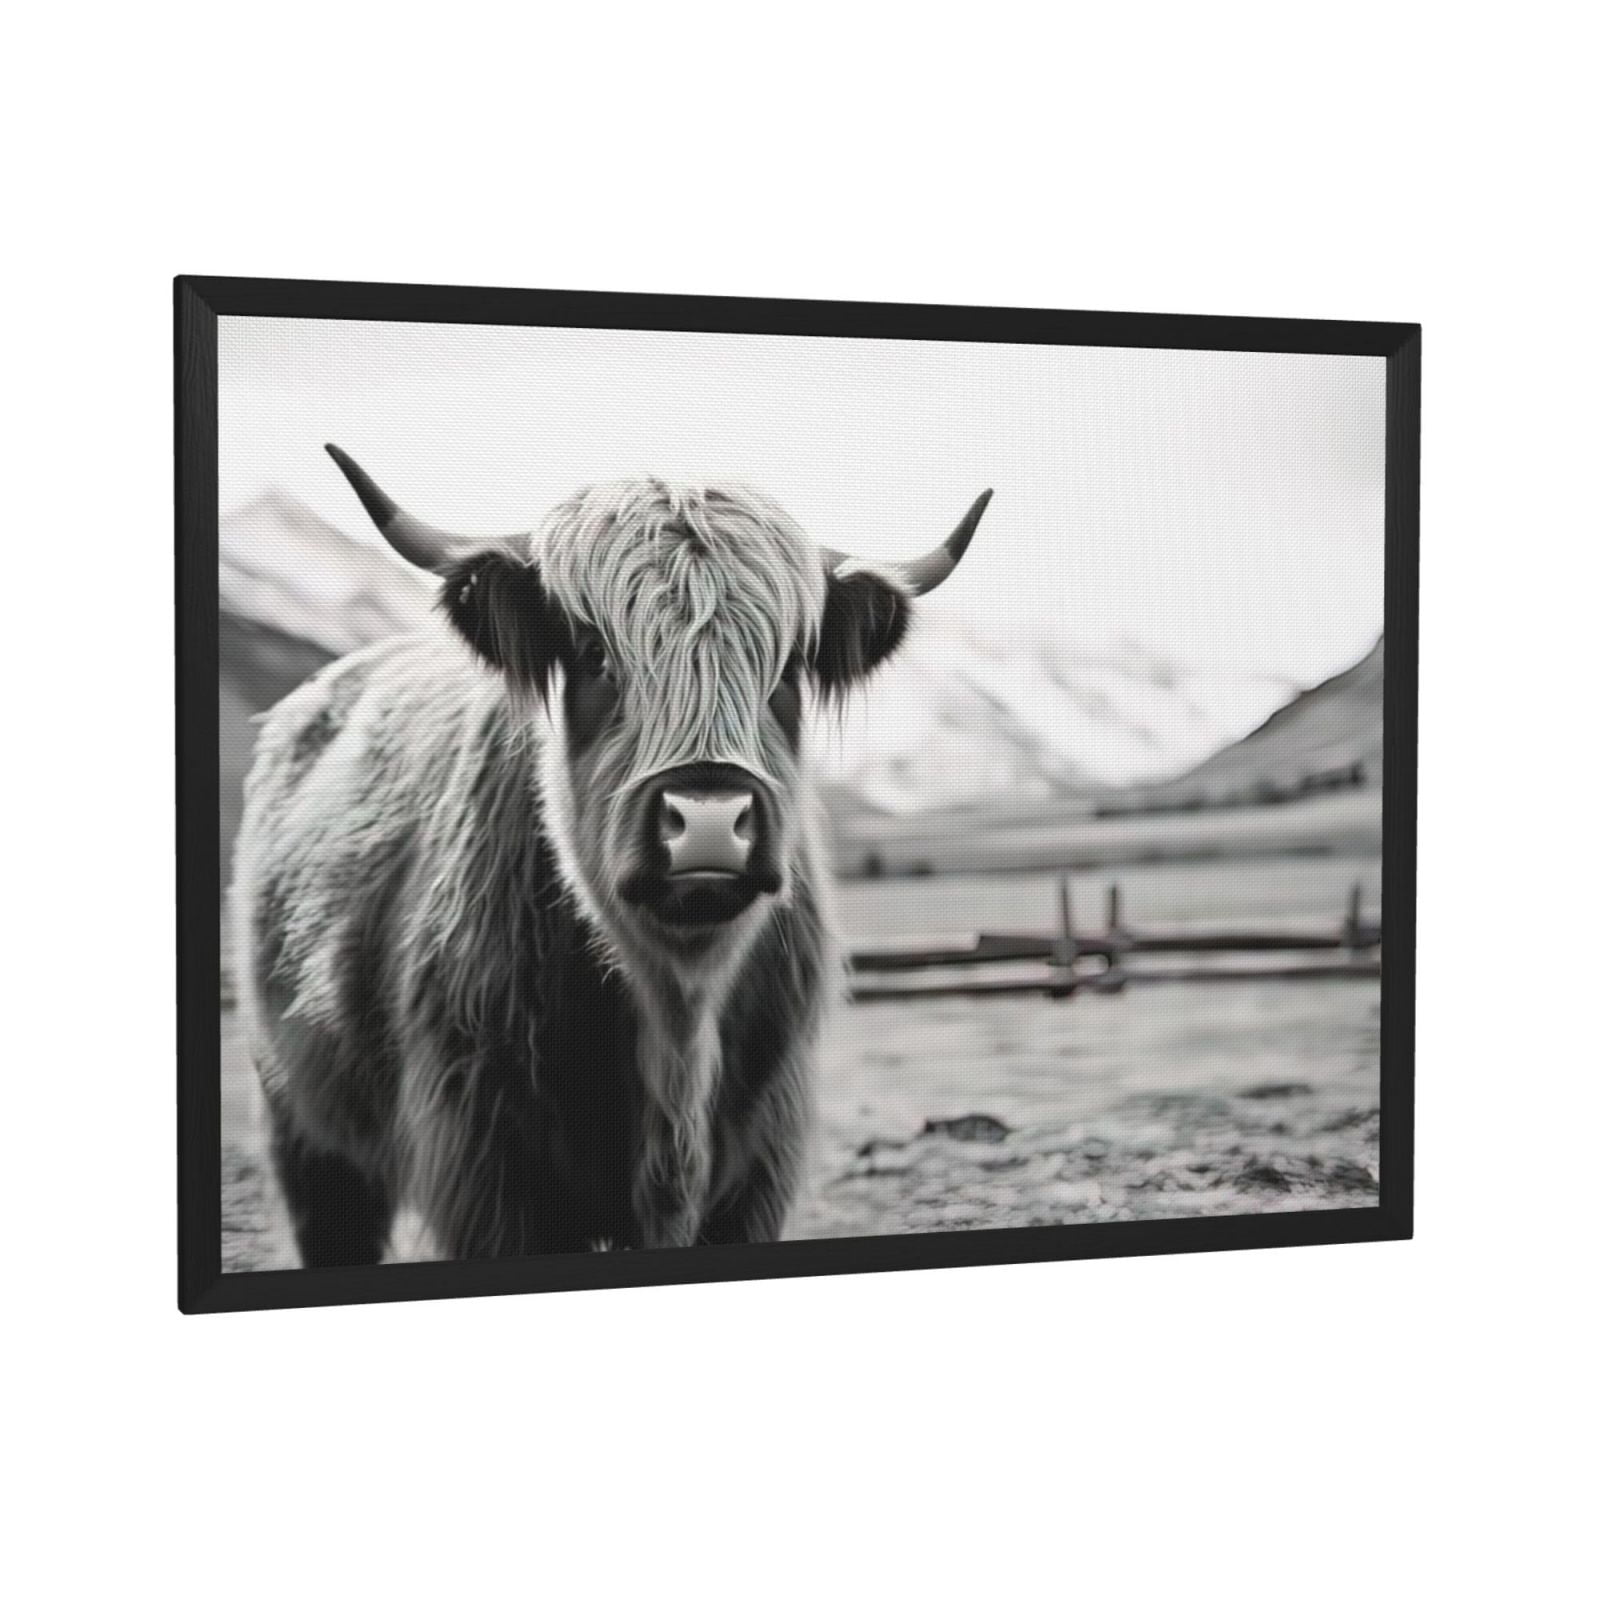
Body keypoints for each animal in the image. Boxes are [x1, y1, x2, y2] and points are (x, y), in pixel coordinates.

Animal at [232, 444, 991, 1264]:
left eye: (787, 669)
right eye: (596, 654)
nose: (709, 820)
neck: (677, 1021)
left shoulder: (758, 1169)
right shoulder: (486, 1171)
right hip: (305, 1130)